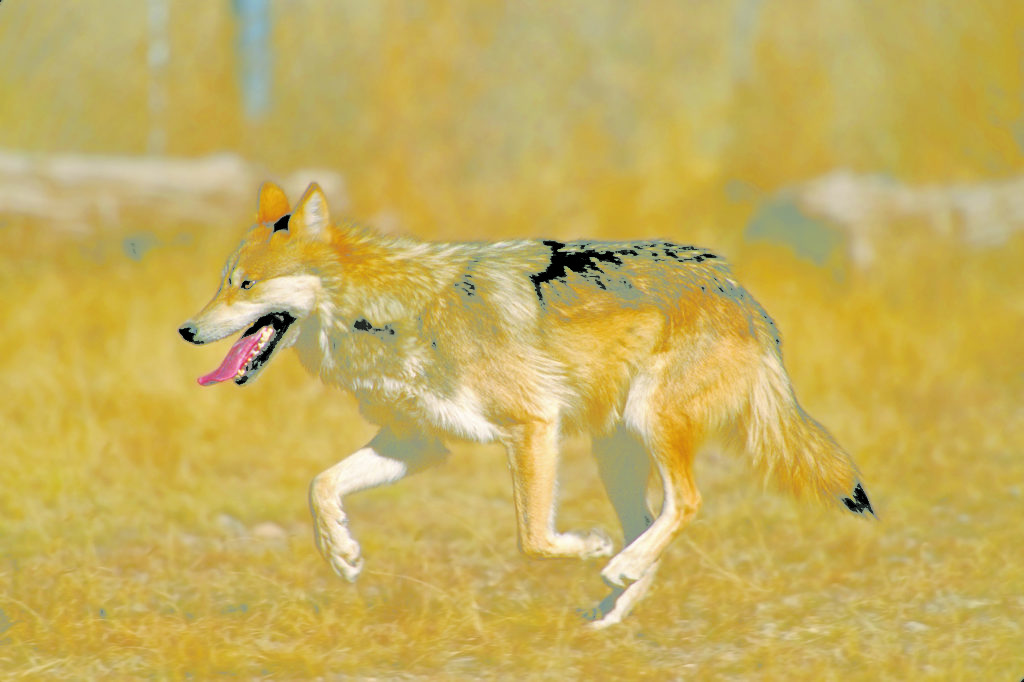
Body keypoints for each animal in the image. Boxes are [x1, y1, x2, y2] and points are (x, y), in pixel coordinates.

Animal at [179, 181, 875, 628]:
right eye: (221, 282)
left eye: (245, 285)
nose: (186, 330)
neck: (390, 316)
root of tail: (740, 290)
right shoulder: (416, 444)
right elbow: (320, 485)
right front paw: (341, 553)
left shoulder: (532, 426)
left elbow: (533, 539)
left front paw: (585, 546)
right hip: (615, 452)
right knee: (652, 523)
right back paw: (613, 603)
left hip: (646, 426)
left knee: (686, 504)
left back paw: (615, 567)